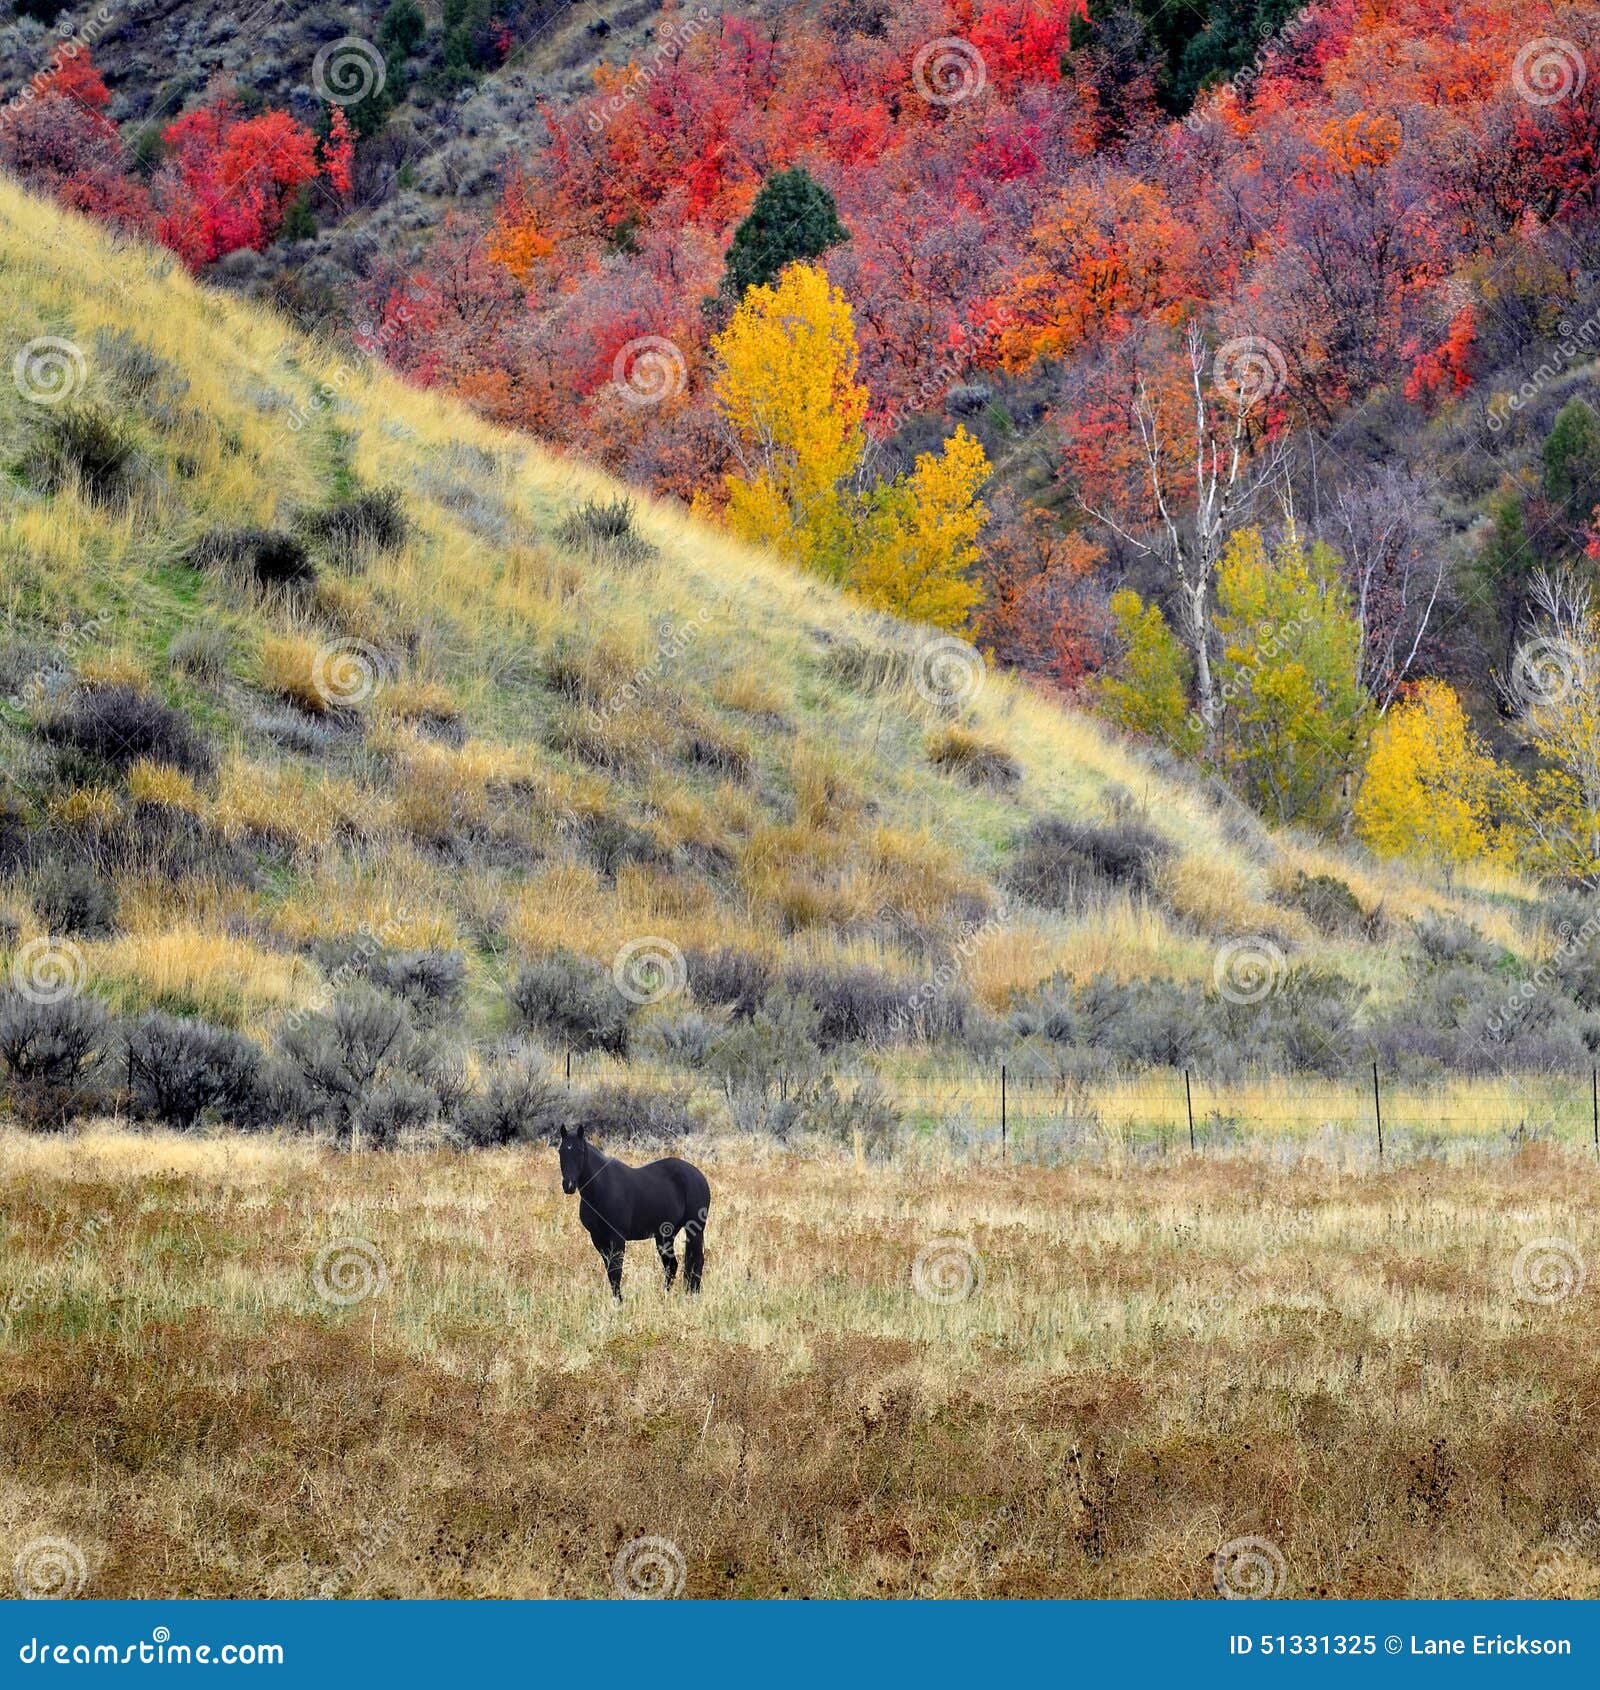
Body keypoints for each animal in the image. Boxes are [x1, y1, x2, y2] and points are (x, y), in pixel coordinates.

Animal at [556, 1124, 711, 1300]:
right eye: (561, 1151)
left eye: (580, 1150)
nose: (569, 1185)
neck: (601, 1188)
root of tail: (698, 1175)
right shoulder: (597, 1238)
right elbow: (610, 1272)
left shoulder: (617, 1238)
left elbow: (616, 1272)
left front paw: (619, 1302)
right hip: (665, 1235)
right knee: (672, 1265)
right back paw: (665, 1296)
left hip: (695, 1230)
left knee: (696, 1261)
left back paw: (693, 1295)